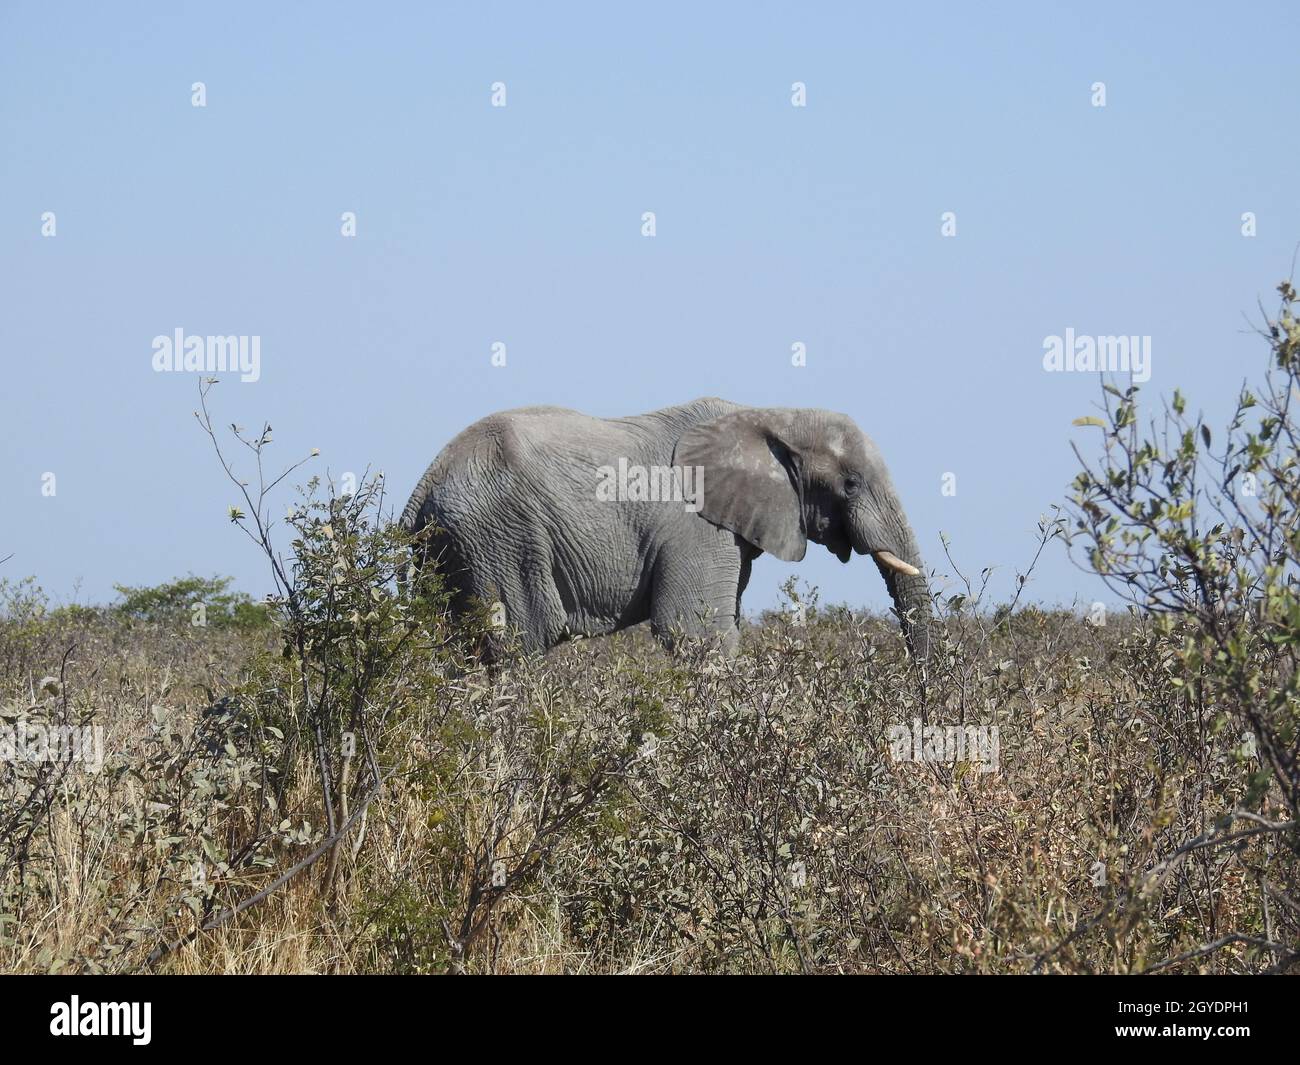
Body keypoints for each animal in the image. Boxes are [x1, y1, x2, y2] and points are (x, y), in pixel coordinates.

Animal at [399, 398, 931, 660]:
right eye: (851, 484)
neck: (770, 416)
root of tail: (423, 485)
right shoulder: (696, 528)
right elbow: (697, 633)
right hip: (498, 536)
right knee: (519, 642)